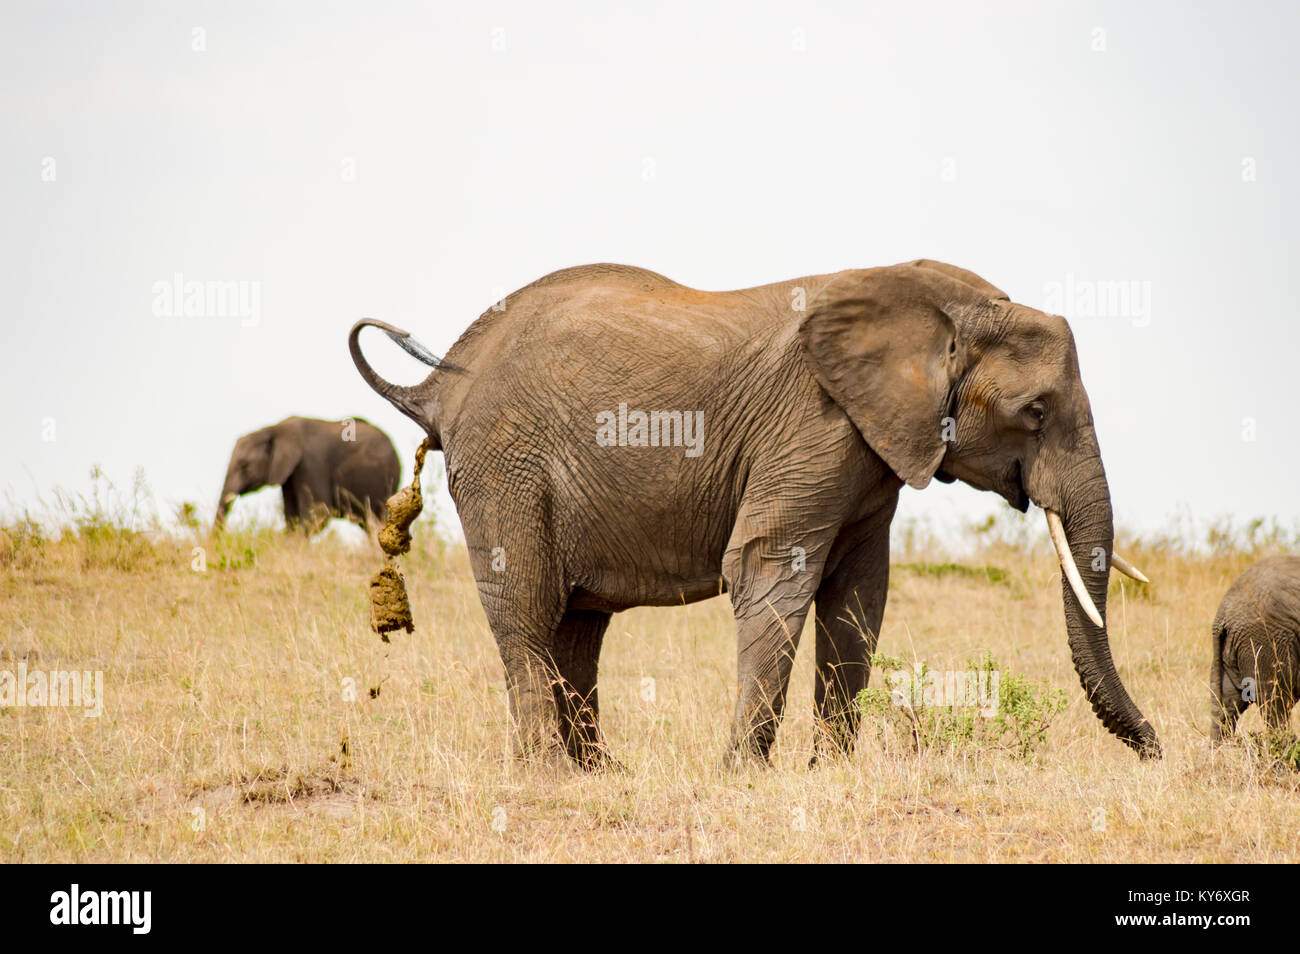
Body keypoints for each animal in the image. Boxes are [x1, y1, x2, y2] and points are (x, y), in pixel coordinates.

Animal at [214, 416, 400, 534]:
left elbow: (318, 514)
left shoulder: (311, 464)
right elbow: (292, 518)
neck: (274, 429)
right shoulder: (290, 474)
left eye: (244, 465)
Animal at [349, 259, 1158, 768]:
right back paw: (545, 776)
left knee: (577, 624)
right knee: (527, 609)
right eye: (1036, 411)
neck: (940, 305)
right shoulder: (814, 425)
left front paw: (831, 775)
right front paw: (746, 773)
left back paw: (596, 776)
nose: (1158, 748)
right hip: (505, 466)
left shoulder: (872, 447)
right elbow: (771, 571)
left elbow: (859, 596)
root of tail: (439, 385)